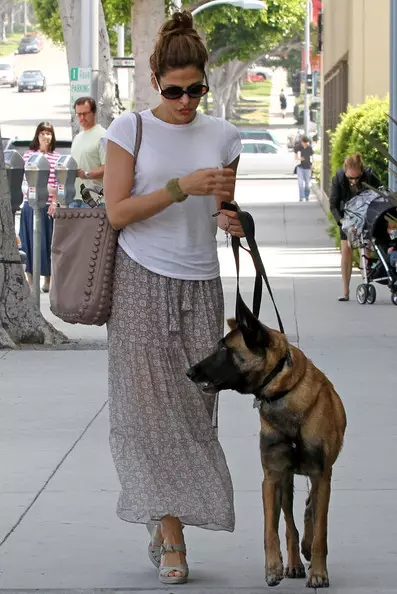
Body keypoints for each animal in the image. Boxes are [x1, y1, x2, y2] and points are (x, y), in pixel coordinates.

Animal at [187, 310, 344, 588]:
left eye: (223, 348)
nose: (189, 371)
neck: (284, 392)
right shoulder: (271, 478)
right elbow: (271, 528)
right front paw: (273, 568)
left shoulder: (321, 475)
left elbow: (320, 530)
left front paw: (318, 572)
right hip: (285, 481)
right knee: (291, 523)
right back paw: (294, 563)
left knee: (309, 509)